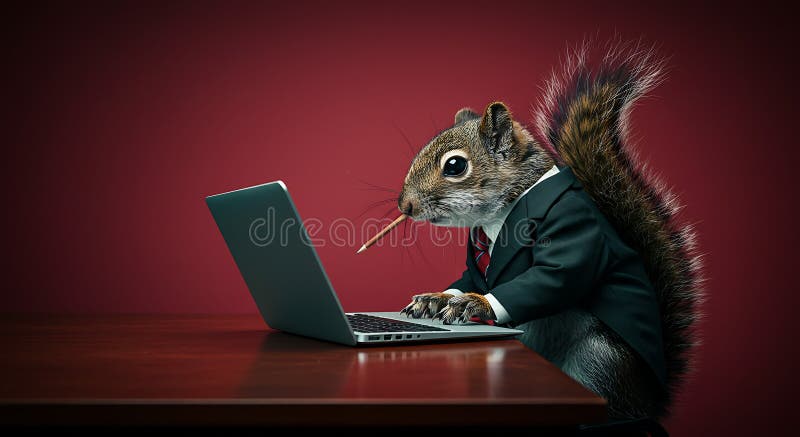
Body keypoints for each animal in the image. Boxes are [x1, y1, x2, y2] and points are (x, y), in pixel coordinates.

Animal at [397, 42, 703, 420]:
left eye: (455, 165)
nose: (404, 205)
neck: (499, 214)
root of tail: (650, 400)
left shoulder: (570, 225)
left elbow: (554, 275)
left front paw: (474, 303)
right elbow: (469, 278)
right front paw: (435, 299)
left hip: (598, 360)